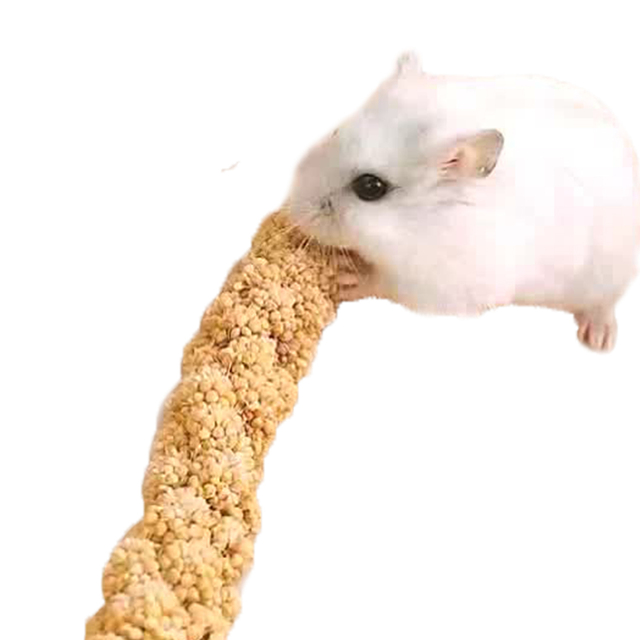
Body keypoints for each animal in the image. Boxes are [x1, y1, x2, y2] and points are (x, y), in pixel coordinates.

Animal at [286, 52, 640, 352]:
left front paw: (346, 277)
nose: (293, 212)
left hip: (607, 277)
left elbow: (384, 283)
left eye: (371, 187)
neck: (422, 223)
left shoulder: (443, 281)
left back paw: (598, 340)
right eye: (336, 132)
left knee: (603, 305)